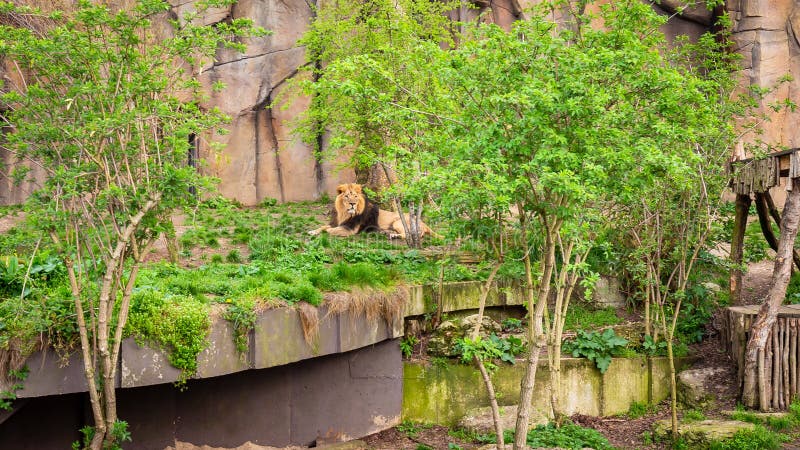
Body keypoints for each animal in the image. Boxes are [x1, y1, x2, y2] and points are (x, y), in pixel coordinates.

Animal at [308, 183, 438, 239]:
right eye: (347, 196)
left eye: (355, 196)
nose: (352, 204)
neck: (344, 213)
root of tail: (422, 222)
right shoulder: (336, 222)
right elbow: (323, 227)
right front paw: (313, 231)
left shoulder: (350, 229)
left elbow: (329, 230)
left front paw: (326, 231)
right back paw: (386, 233)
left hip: (398, 222)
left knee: (408, 235)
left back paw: (393, 235)